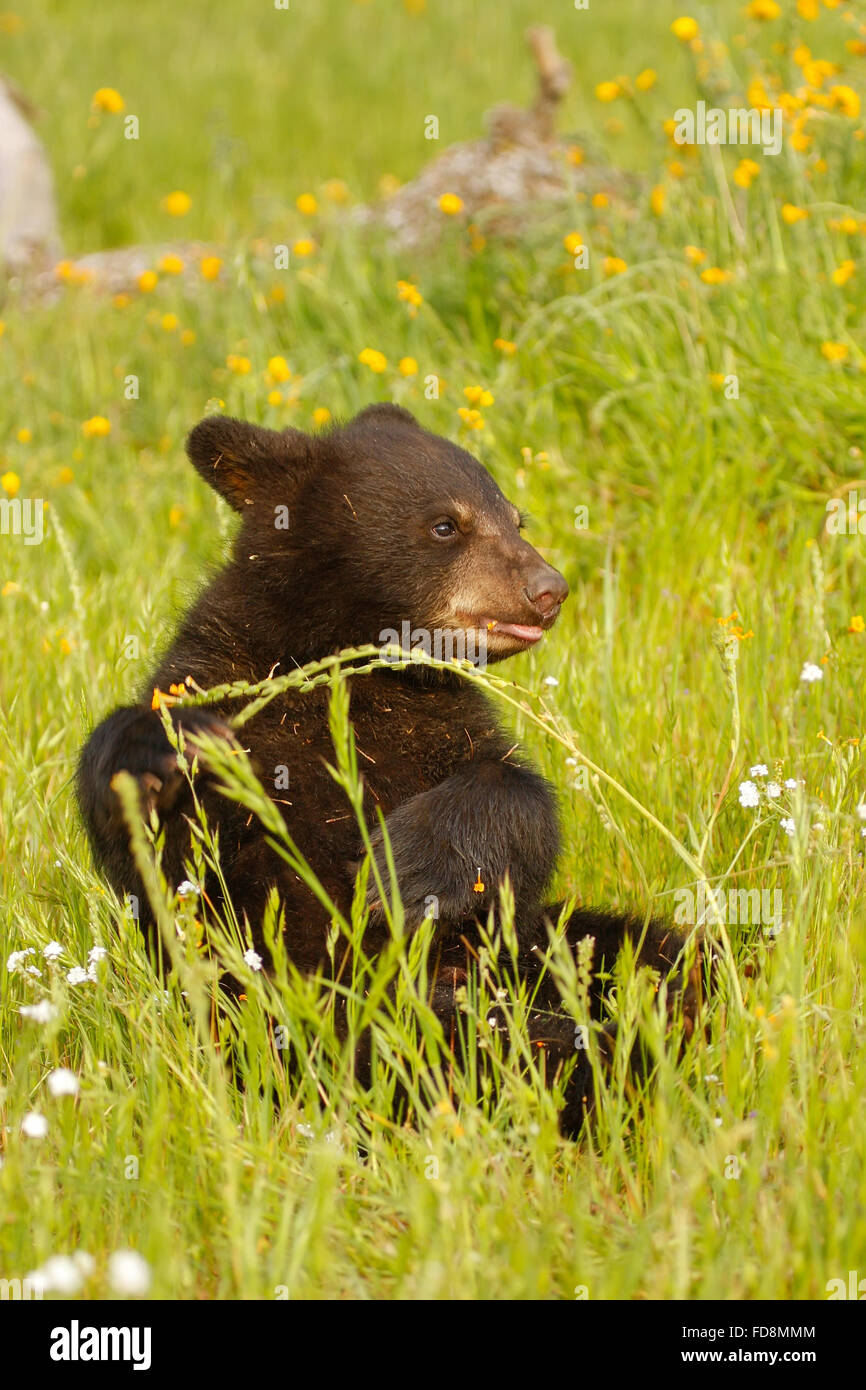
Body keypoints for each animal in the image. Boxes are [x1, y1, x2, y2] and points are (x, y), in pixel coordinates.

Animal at [77, 403, 697, 1132]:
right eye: (445, 524)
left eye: (516, 519)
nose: (548, 589)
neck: (355, 669)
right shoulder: (233, 690)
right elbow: (166, 852)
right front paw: (164, 748)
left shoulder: (446, 724)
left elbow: (515, 801)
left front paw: (404, 868)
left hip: (537, 944)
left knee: (660, 952)